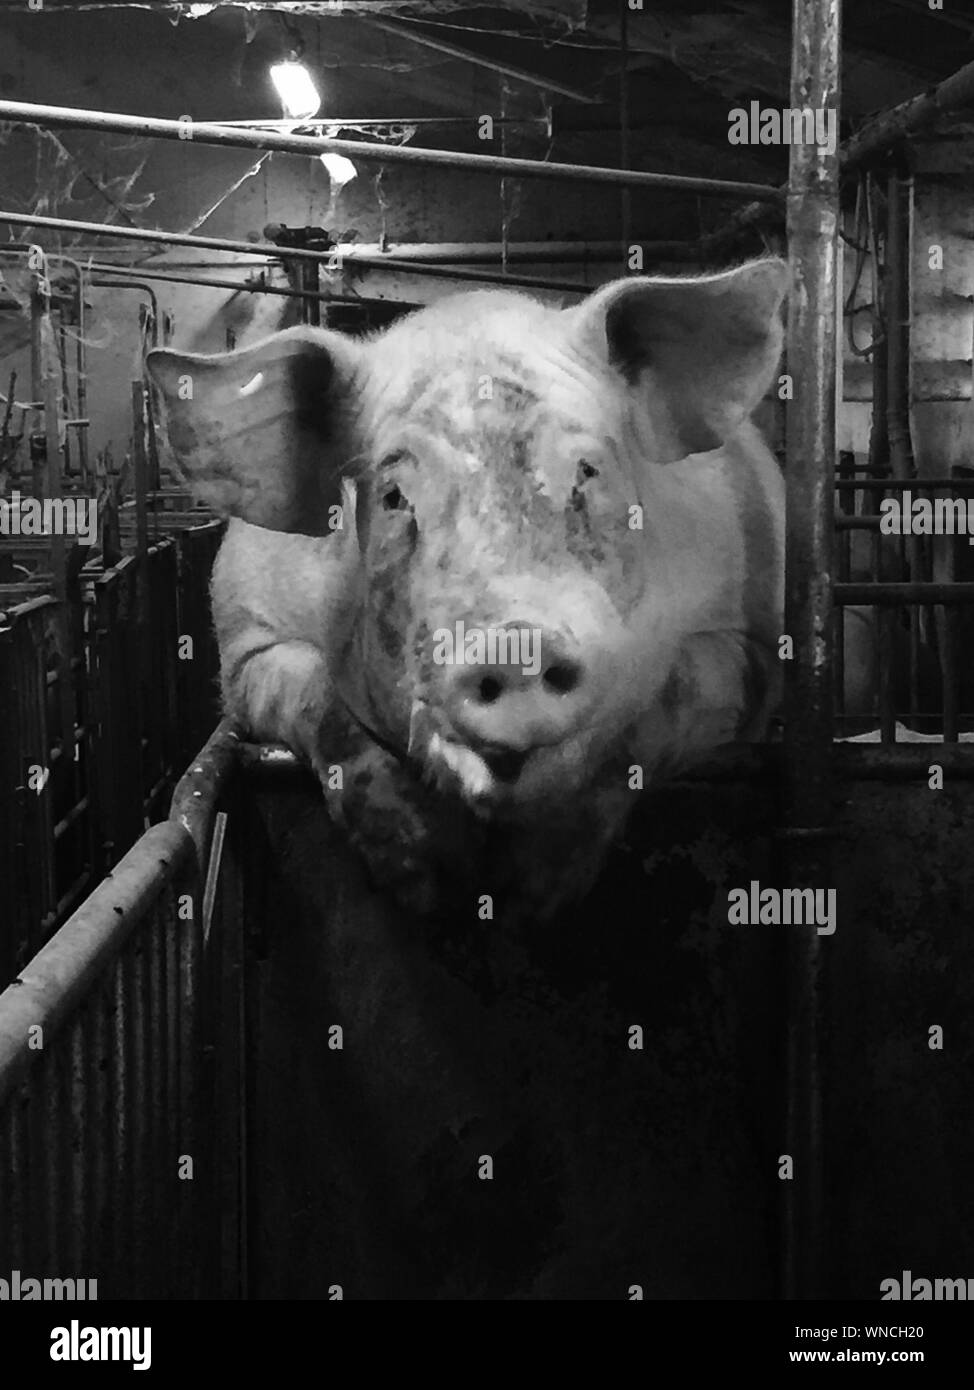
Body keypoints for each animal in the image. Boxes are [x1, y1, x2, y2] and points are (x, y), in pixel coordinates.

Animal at [146, 258, 788, 920]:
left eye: (586, 472)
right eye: (394, 496)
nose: (515, 643)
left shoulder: (750, 641)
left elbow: (660, 708)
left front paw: (536, 897)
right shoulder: (248, 644)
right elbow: (319, 704)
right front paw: (426, 882)